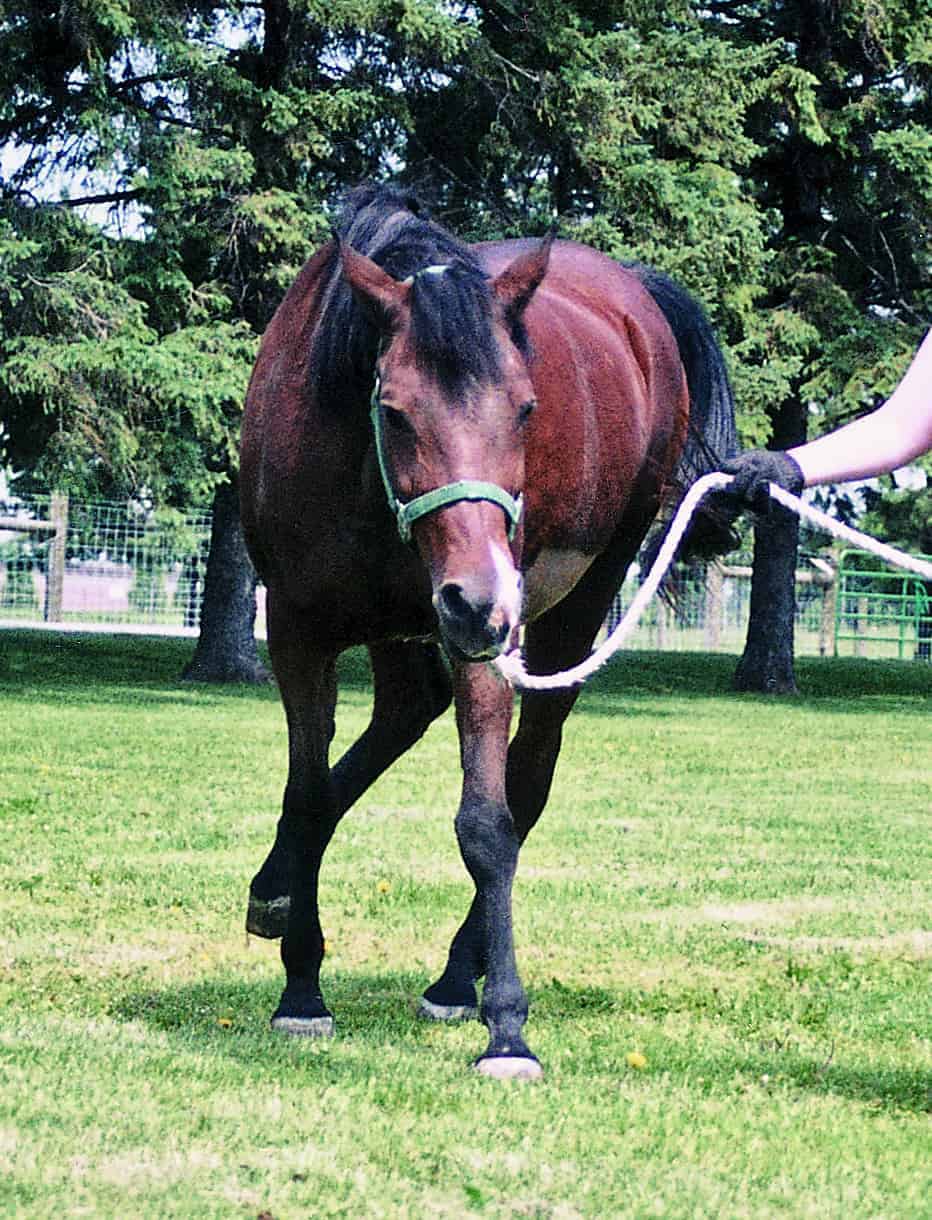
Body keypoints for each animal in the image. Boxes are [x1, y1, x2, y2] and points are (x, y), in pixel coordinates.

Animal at [239, 183, 736, 1078]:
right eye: (395, 410)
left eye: (527, 407)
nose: (483, 600)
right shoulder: (300, 630)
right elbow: (308, 789)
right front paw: (301, 986)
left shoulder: (478, 645)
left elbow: (487, 821)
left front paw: (507, 1025)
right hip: (417, 629)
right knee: (389, 729)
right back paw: (278, 891)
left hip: (573, 606)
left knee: (526, 782)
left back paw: (453, 978)